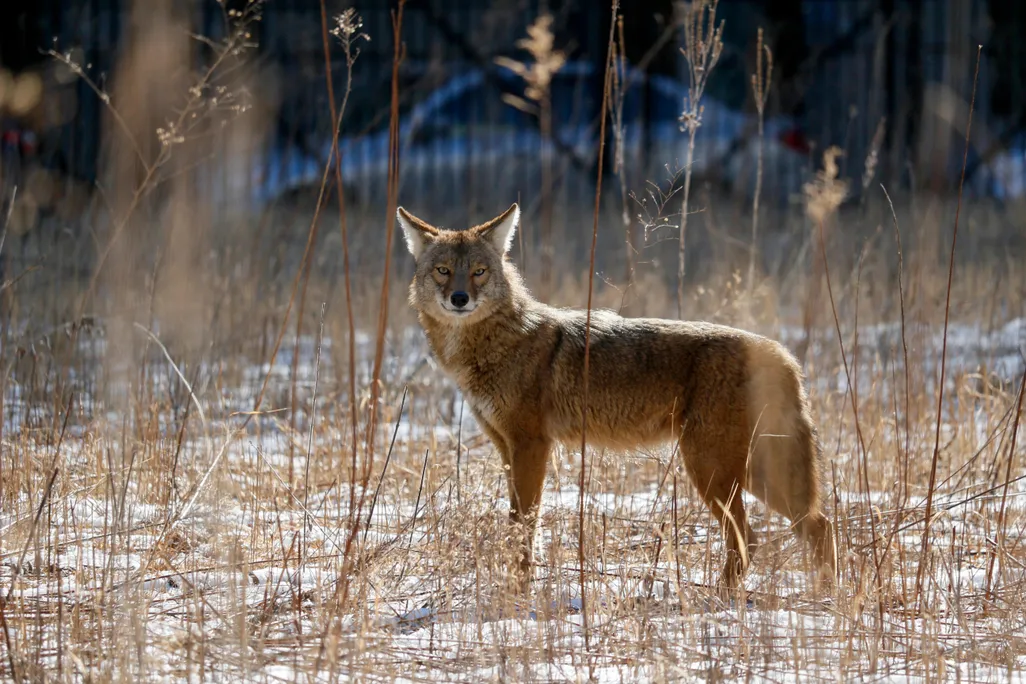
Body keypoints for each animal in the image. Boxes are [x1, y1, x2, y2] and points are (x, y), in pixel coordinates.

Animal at [397, 202, 837, 591]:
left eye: (479, 272)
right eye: (443, 271)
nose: (459, 299)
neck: (494, 344)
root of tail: (784, 355)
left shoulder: (532, 446)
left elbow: (525, 525)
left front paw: (519, 592)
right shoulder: (507, 449)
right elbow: (516, 524)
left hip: (716, 471)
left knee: (778, 531)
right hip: (739, 472)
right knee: (800, 527)